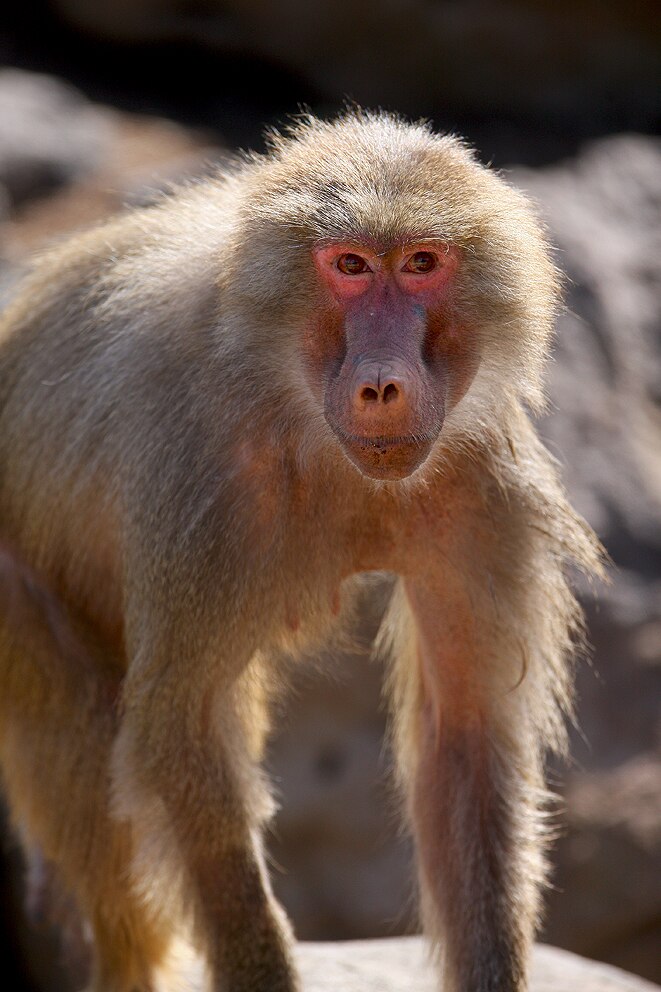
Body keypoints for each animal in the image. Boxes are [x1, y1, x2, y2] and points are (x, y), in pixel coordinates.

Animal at [0, 110, 602, 992]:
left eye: (420, 264)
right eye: (348, 266)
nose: (382, 386)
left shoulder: (482, 482)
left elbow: (465, 739)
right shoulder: (203, 473)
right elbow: (181, 737)